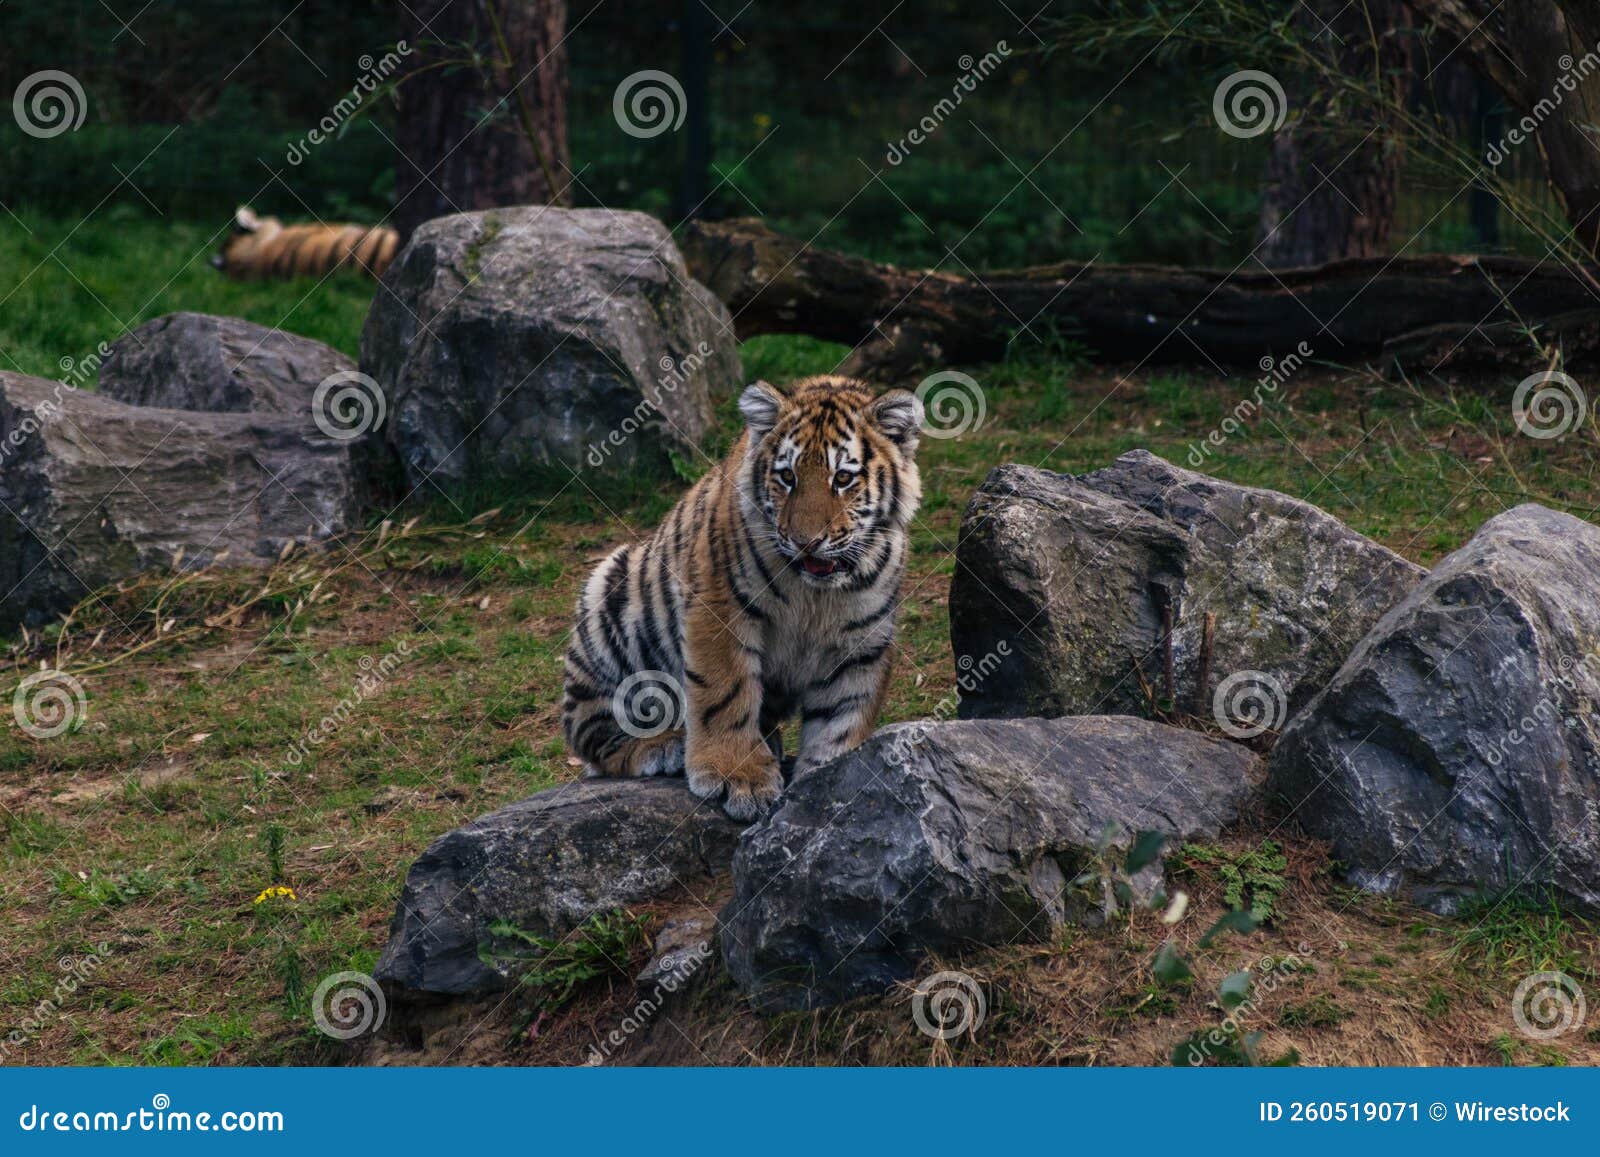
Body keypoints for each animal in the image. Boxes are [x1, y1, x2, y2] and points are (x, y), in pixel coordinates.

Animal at [561, 374, 924, 821]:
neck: (815, 595)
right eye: (787, 477)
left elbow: (840, 720)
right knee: (590, 729)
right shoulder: (719, 608)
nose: (806, 542)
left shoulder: (862, 639)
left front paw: (823, 785)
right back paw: (662, 746)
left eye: (842, 479)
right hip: (611, 590)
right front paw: (738, 776)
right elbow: (725, 693)